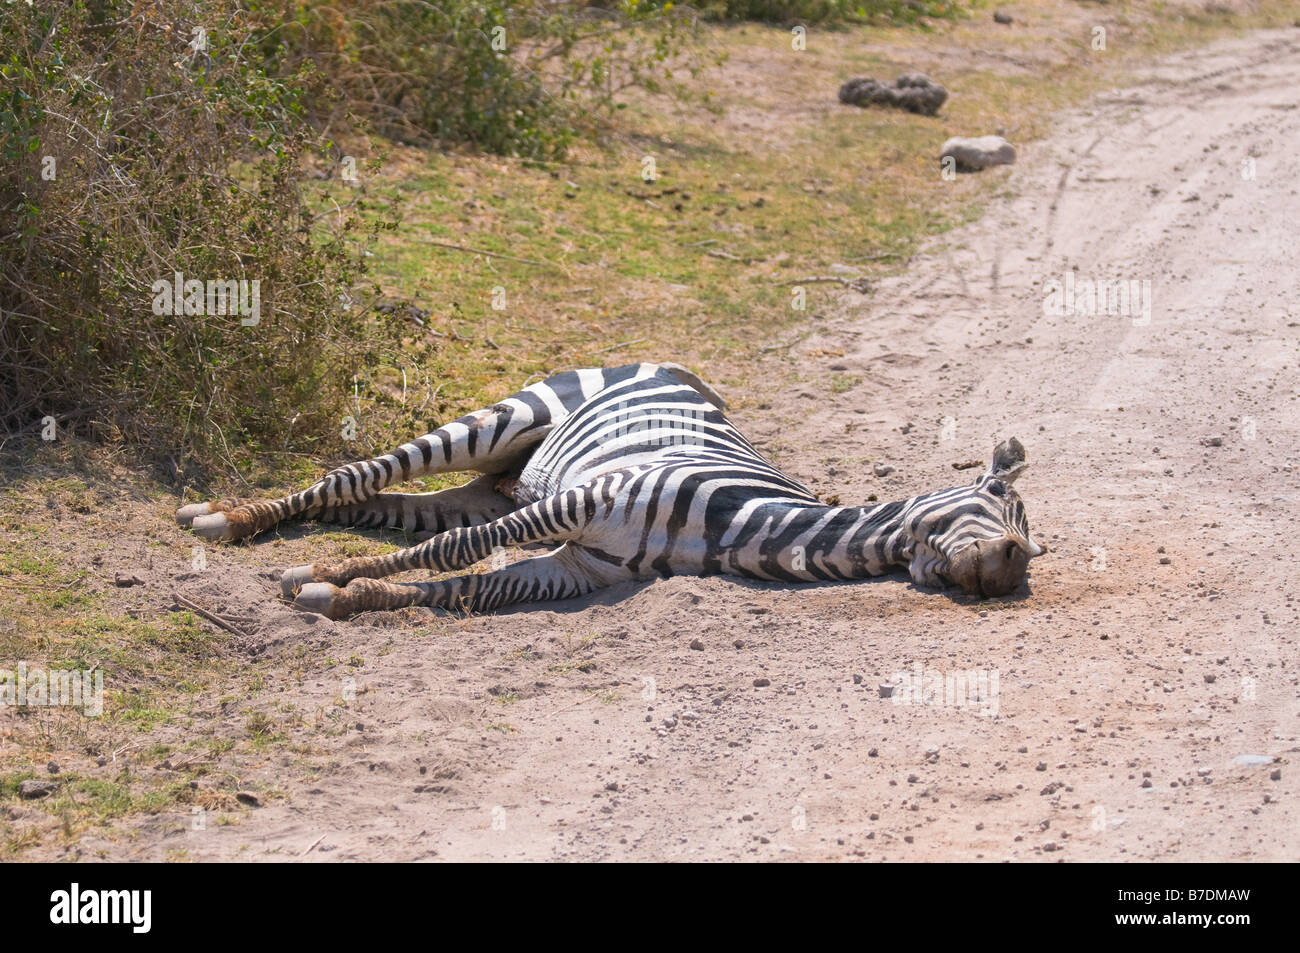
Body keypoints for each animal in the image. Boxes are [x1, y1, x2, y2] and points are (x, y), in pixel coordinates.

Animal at [176, 362, 1044, 618]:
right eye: (1005, 507)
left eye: (1032, 549)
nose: (1011, 567)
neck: (740, 523)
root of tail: (672, 364)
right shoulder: (583, 505)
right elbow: (457, 555)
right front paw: (322, 574)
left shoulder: (582, 567)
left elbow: (462, 587)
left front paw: (344, 593)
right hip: (510, 420)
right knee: (362, 475)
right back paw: (226, 518)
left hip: (502, 486)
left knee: (387, 506)